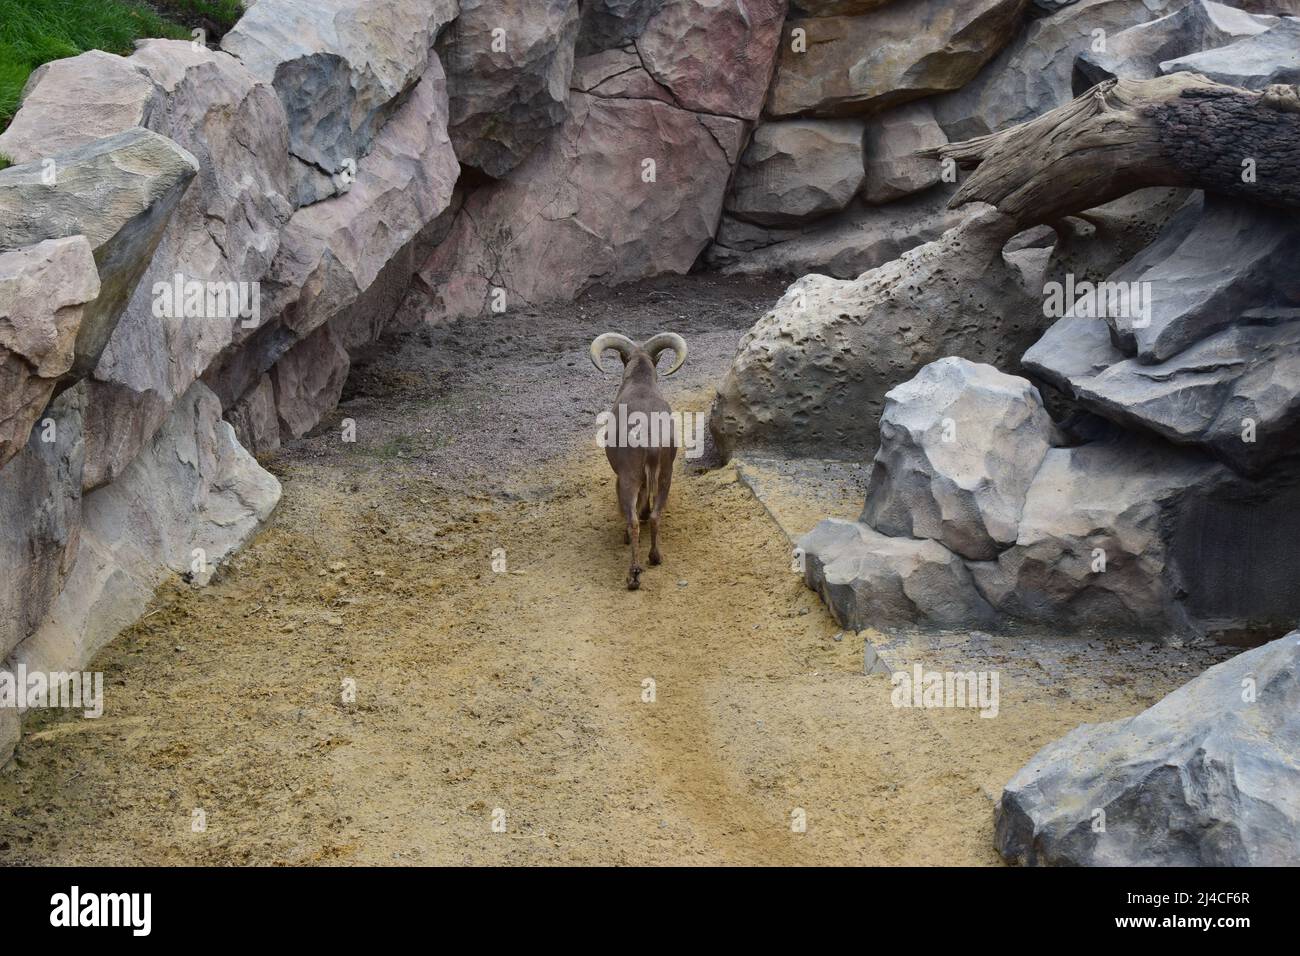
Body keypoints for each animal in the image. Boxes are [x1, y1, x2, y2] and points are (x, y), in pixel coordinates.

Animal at [590, 332, 687, 590]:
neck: (640, 384)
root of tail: (650, 438)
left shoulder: (622, 476)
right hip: (665, 476)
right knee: (655, 515)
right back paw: (655, 556)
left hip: (629, 478)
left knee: (633, 521)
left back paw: (633, 574)